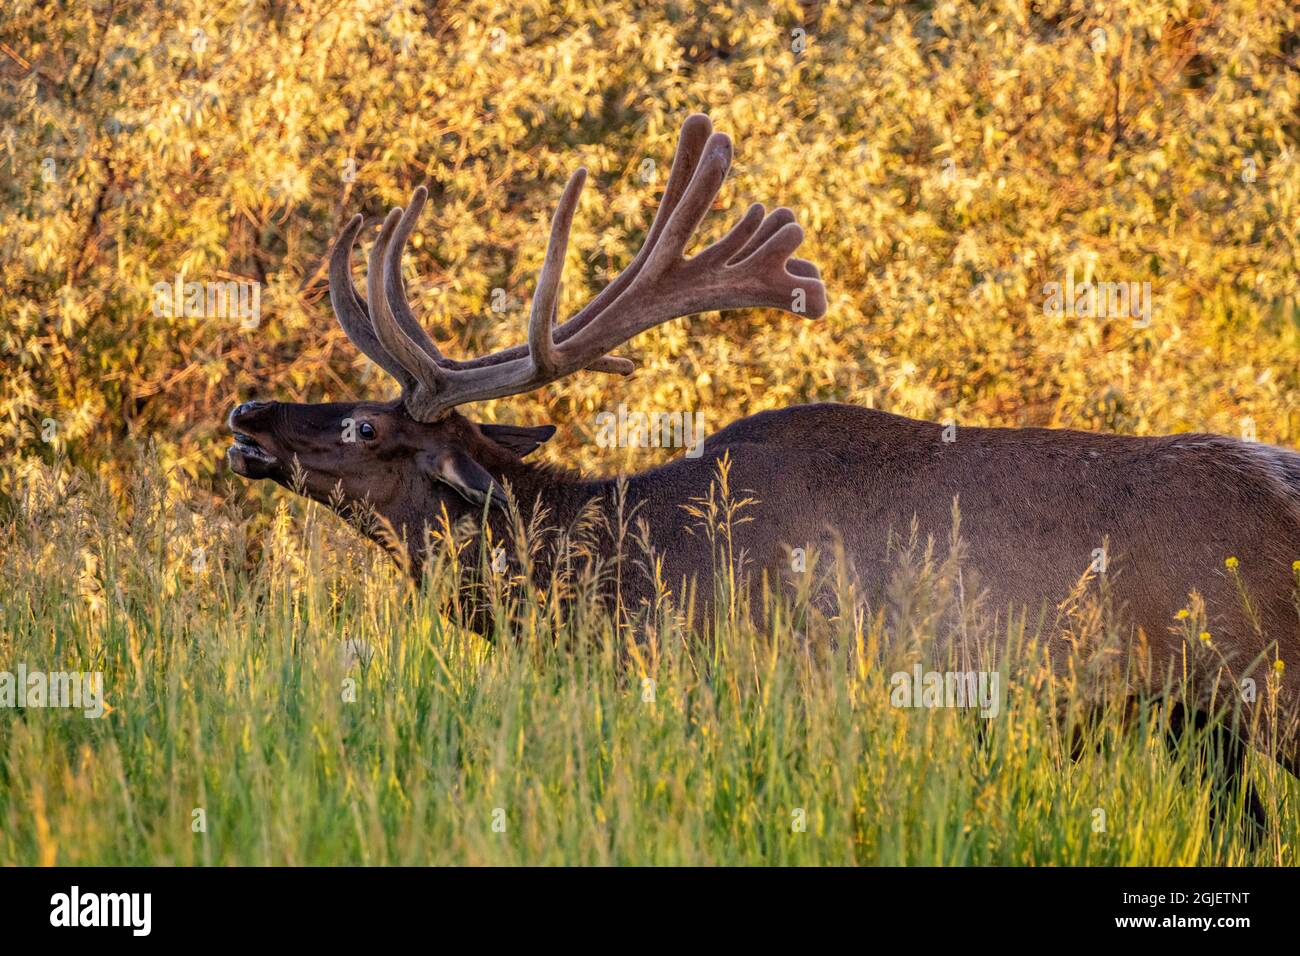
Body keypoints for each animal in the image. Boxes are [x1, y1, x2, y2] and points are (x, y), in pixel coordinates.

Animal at [227, 114, 1300, 838]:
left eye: (365, 424)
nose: (247, 416)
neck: (629, 575)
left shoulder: (766, 680)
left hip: (1267, 688)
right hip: (1201, 723)